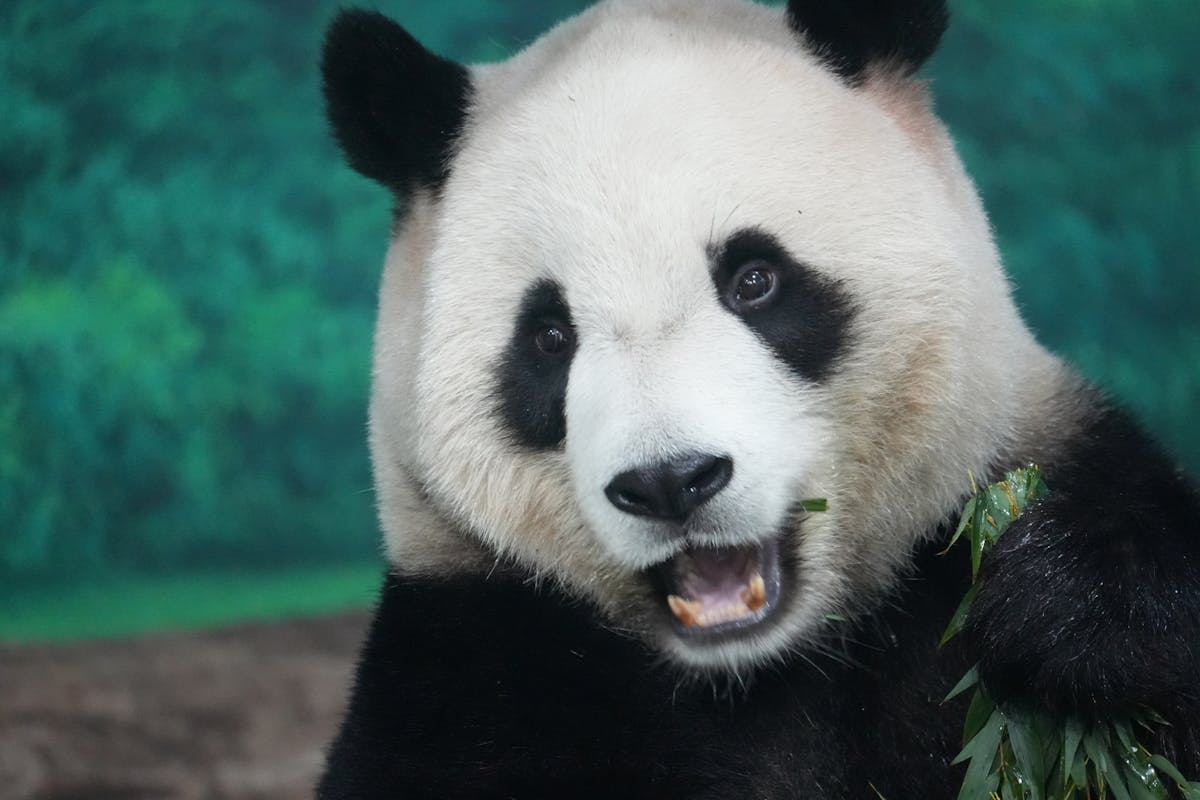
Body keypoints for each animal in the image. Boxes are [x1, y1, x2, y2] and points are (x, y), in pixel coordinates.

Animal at [317, 0, 1200, 796]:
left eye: (754, 281)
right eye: (549, 337)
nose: (670, 481)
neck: (760, 662)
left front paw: (1069, 604)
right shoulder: (474, 664)